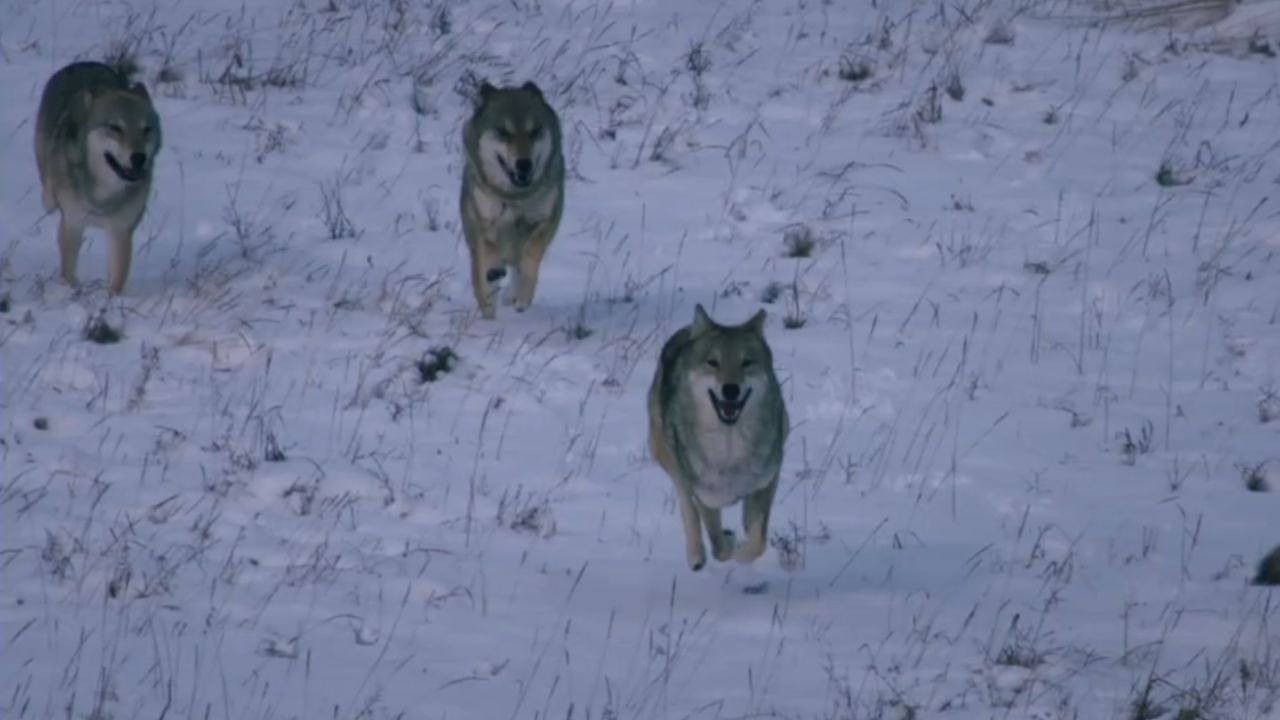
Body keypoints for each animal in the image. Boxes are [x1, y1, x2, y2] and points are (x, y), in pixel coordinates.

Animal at [35, 61, 163, 296]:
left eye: (146, 129)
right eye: (115, 128)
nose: (139, 157)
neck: (104, 196)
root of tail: (83, 63)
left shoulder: (120, 229)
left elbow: (117, 278)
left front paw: (111, 300)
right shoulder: (73, 224)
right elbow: (68, 272)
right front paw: (71, 293)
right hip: (48, 193)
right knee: (48, 197)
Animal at [458, 80, 565, 320]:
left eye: (534, 132)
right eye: (503, 132)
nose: (524, 164)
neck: (515, 198)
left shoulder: (544, 221)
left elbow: (530, 259)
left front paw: (522, 297)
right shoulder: (485, 227)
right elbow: (485, 285)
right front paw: (489, 321)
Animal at [647, 304, 790, 572]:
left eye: (746, 363)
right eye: (713, 363)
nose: (731, 389)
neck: (730, 449)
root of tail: (688, 330)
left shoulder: (765, 482)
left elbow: (758, 542)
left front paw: (743, 552)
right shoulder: (708, 498)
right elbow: (719, 546)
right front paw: (729, 543)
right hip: (672, 464)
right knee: (687, 508)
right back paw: (696, 557)